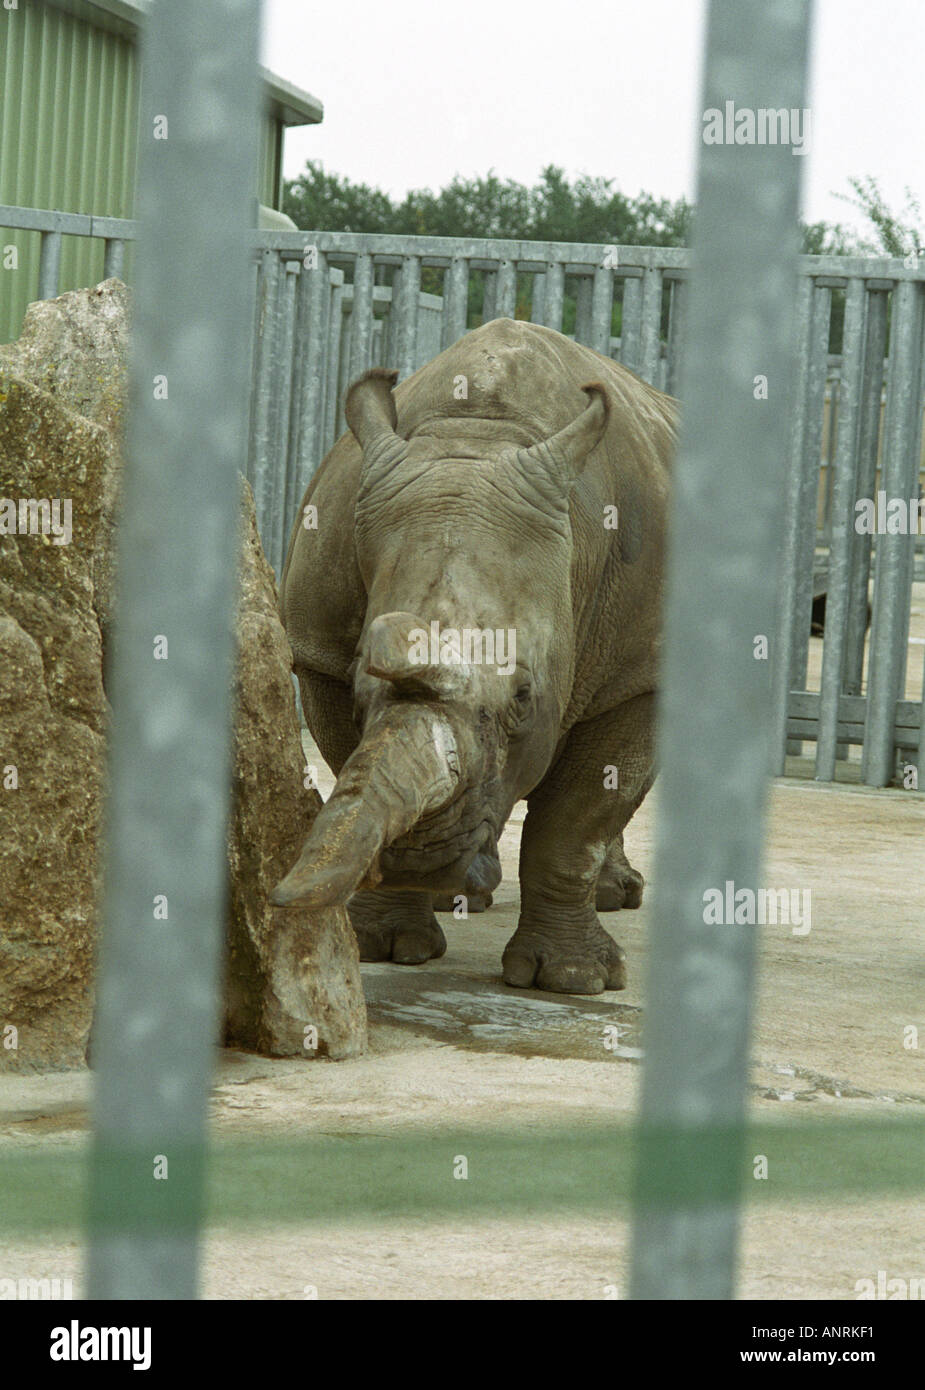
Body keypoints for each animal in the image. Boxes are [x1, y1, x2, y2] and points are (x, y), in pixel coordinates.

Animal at [272, 317, 675, 995]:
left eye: (524, 697)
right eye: (355, 688)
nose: (422, 862)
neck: (479, 438)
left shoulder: (639, 672)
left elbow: (576, 822)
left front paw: (573, 981)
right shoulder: (320, 654)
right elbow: (356, 761)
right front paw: (386, 945)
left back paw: (615, 898)